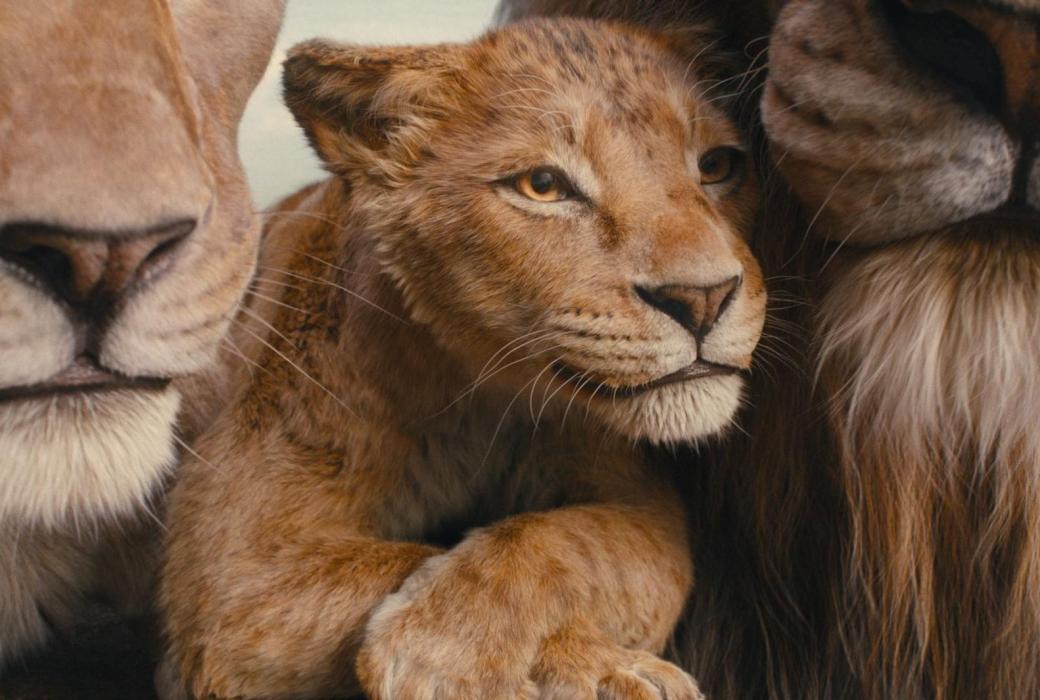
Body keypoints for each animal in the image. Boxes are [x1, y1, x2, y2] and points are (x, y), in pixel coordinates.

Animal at [158, 17, 766, 699]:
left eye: (717, 165)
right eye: (542, 186)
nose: (703, 298)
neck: (479, 396)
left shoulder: (638, 500)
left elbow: (578, 543)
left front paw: (451, 641)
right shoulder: (232, 566)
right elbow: (396, 560)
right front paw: (470, 657)